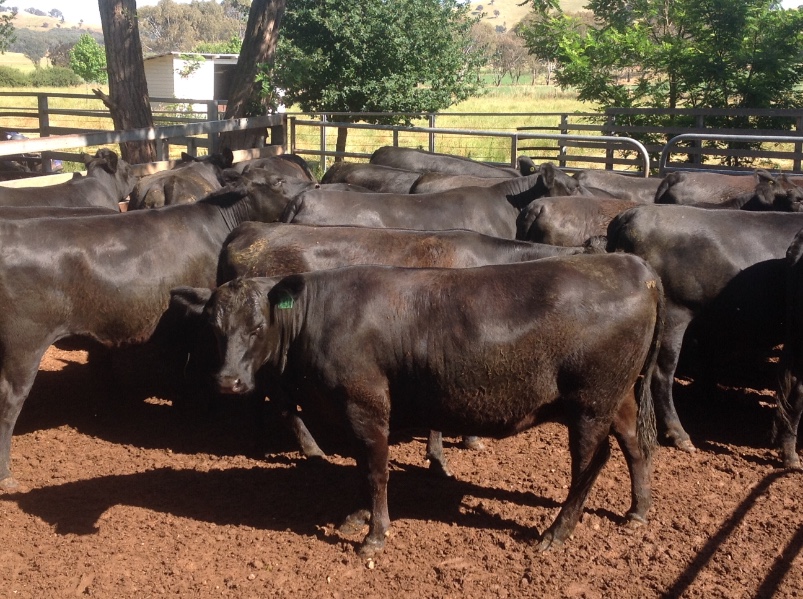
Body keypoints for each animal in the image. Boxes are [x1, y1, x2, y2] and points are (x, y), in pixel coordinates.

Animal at [176, 253, 663, 556]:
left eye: (258, 326)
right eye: (213, 329)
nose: (227, 381)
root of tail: (635, 266)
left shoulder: (366, 404)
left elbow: (376, 470)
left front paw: (375, 534)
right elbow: (363, 467)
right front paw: (356, 517)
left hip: (590, 403)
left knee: (591, 462)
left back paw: (556, 533)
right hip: (618, 397)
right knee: (634, 446)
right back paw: (638, 512)